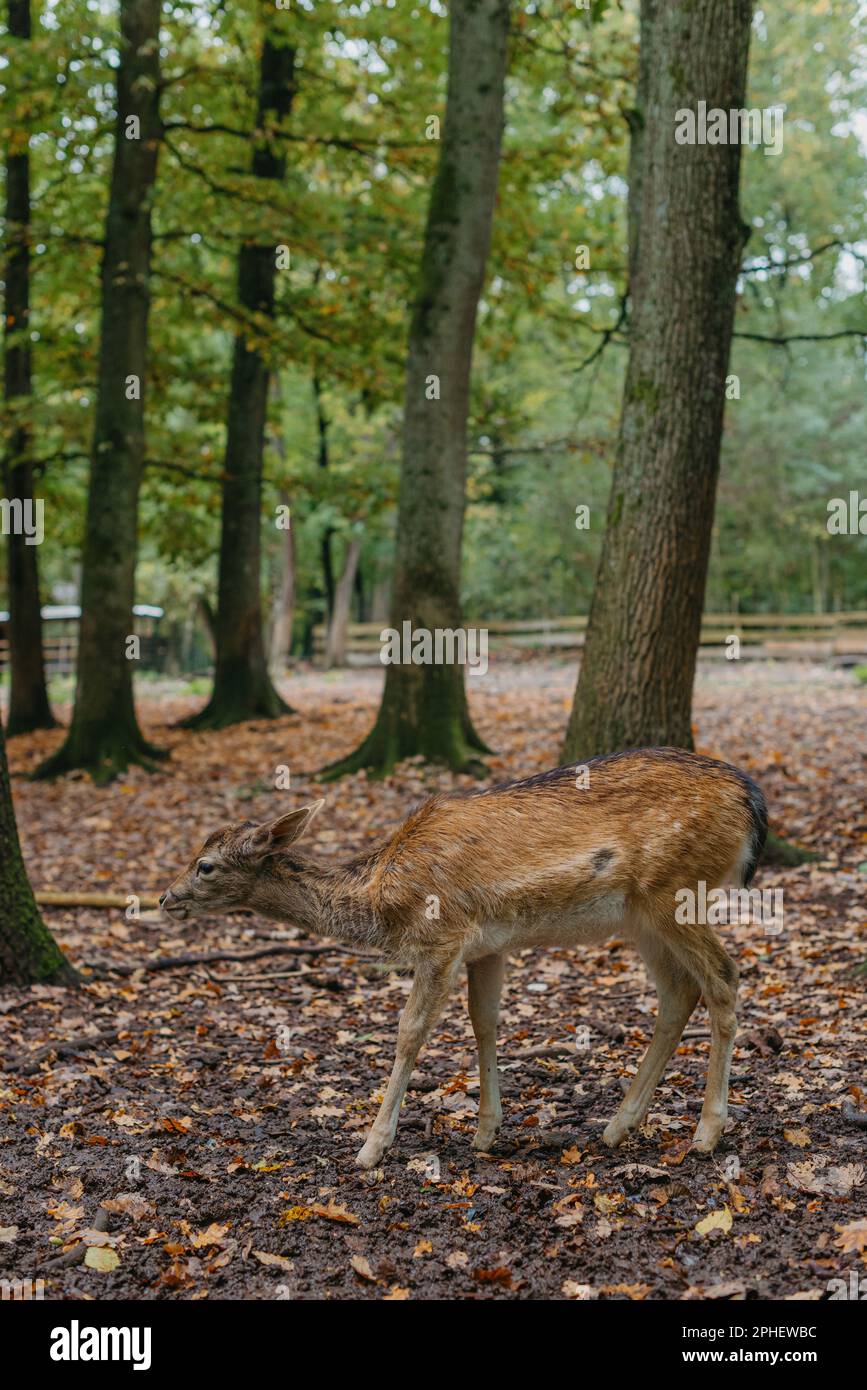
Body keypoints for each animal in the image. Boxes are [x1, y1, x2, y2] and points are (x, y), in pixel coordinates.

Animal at [160, 747, 767, 1169]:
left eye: (206, 865)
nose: (166, 898)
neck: (382, 895)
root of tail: (752, 803)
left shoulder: (441, 938)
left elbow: (410, 1031)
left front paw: (371, 1148)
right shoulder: (487, 946)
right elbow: (485, 1022)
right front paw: (485, 1132)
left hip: (676, 892)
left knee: (723, 977)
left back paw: (707, 1132)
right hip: (641, 916)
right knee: (677, 991)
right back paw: (618, 1126)